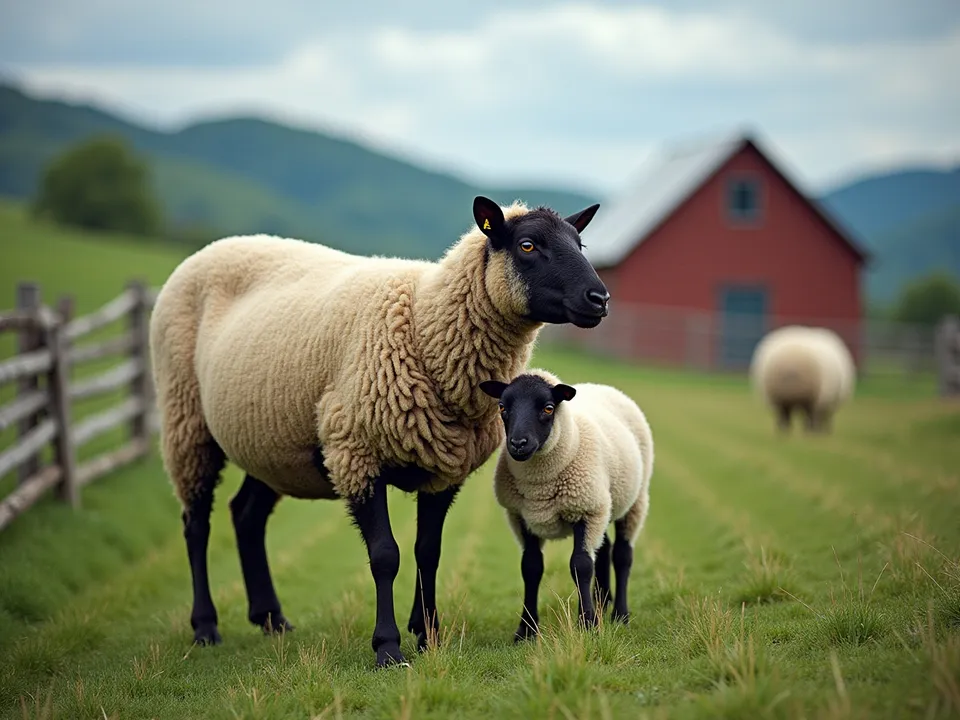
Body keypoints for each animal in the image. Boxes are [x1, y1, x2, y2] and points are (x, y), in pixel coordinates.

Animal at [149, 195, 611, 667]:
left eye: (580, 243)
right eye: (527, 245)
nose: (599, 298)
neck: (424, 325)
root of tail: (214, 247)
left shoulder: (445, 467)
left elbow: (429, 552)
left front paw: (428, 633)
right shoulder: (355, 454)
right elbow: (385, 556)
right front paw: (388, 647)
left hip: (273, 442)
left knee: (246, 515)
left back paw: (271, 619)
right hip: (185, 417)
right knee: (196, 524)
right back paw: (206, 626)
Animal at [478, 368, 654, 640]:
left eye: (549, 408)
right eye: (502, 407)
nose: (518, 444)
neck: (540, 483)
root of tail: (600, 385)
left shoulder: (584, 511)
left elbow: (581, 566)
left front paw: (587, 625)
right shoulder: (521, 517)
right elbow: (531, 567)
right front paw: (526, 629)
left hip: (634, 500)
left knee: (622, 555)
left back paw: (620, 615)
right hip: (603, 506)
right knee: (603, 549)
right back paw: (603, 602)